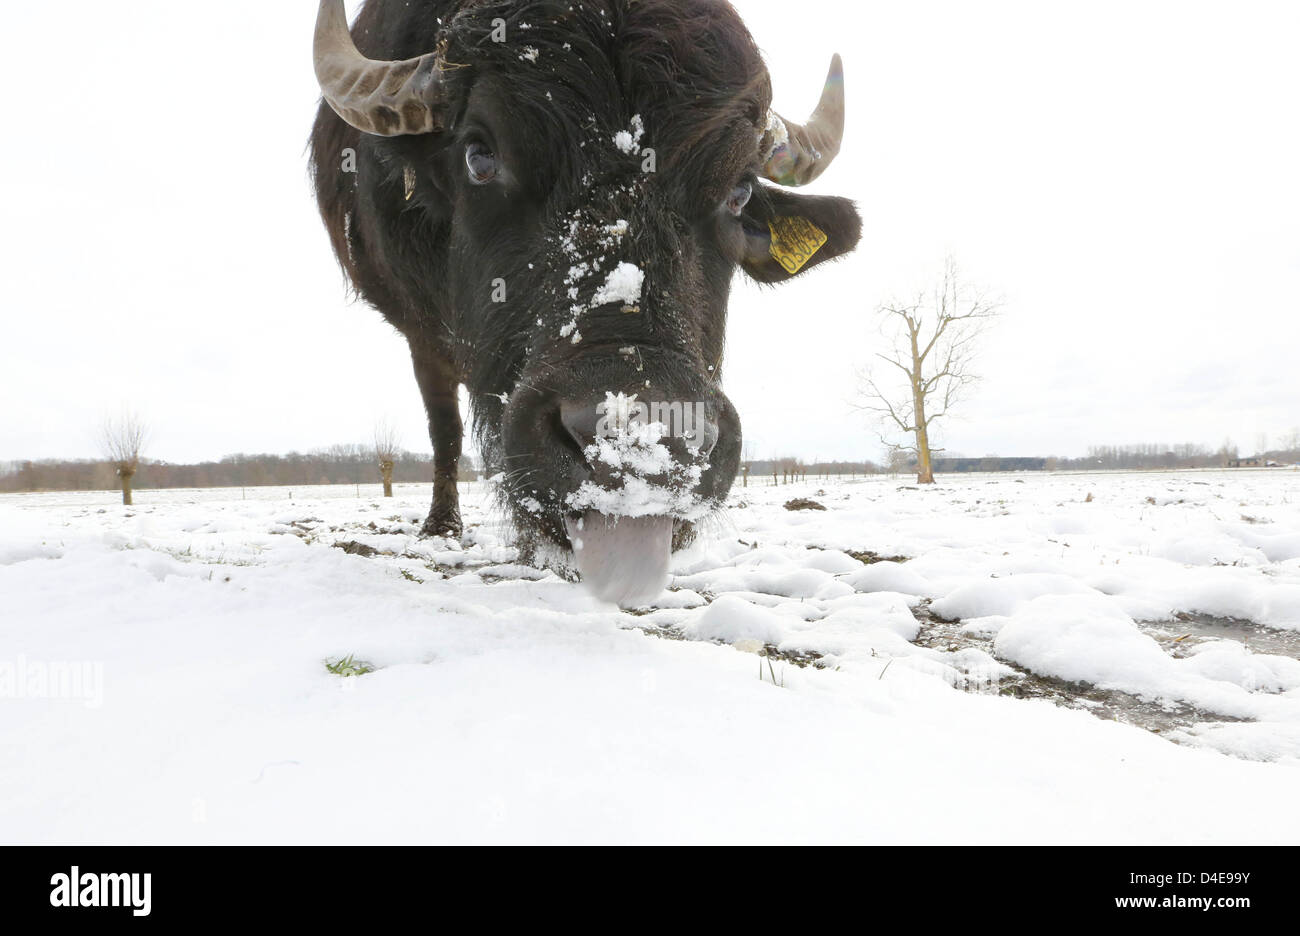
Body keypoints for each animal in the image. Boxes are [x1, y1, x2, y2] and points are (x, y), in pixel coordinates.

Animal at [308, 0, 861, 604]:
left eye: (738, 192)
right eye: (480, 156)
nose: (642, 443)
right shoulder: (420, 333)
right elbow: (446, 428)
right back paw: (443, 525)